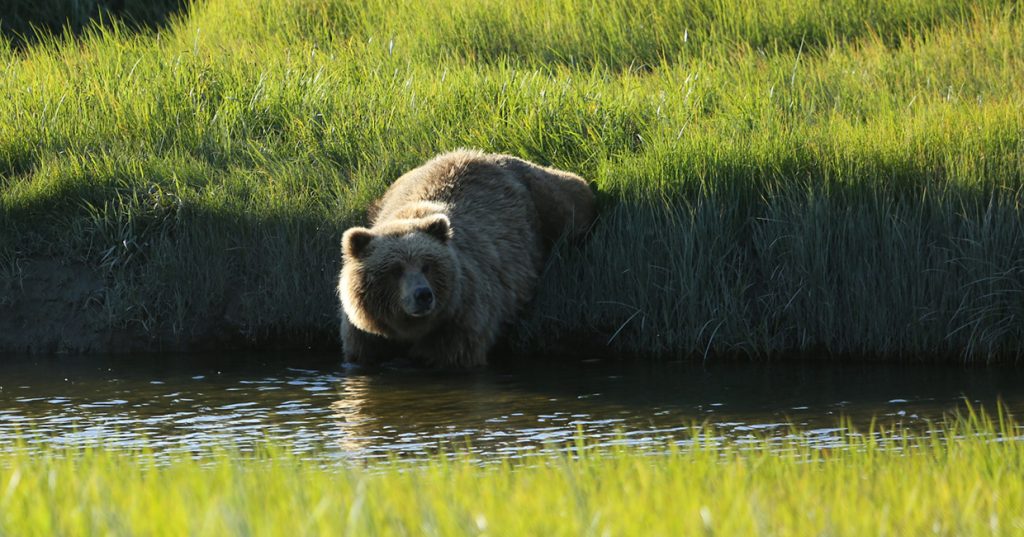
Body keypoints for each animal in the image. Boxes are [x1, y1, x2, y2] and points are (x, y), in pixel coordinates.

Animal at [337, 149, 596, 368]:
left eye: (427, 266)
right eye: (395, 270)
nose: (423, 295)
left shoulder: (460, 320)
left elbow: (453, 356)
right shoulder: (365, 334)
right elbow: (362, 354)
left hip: (545, 196)